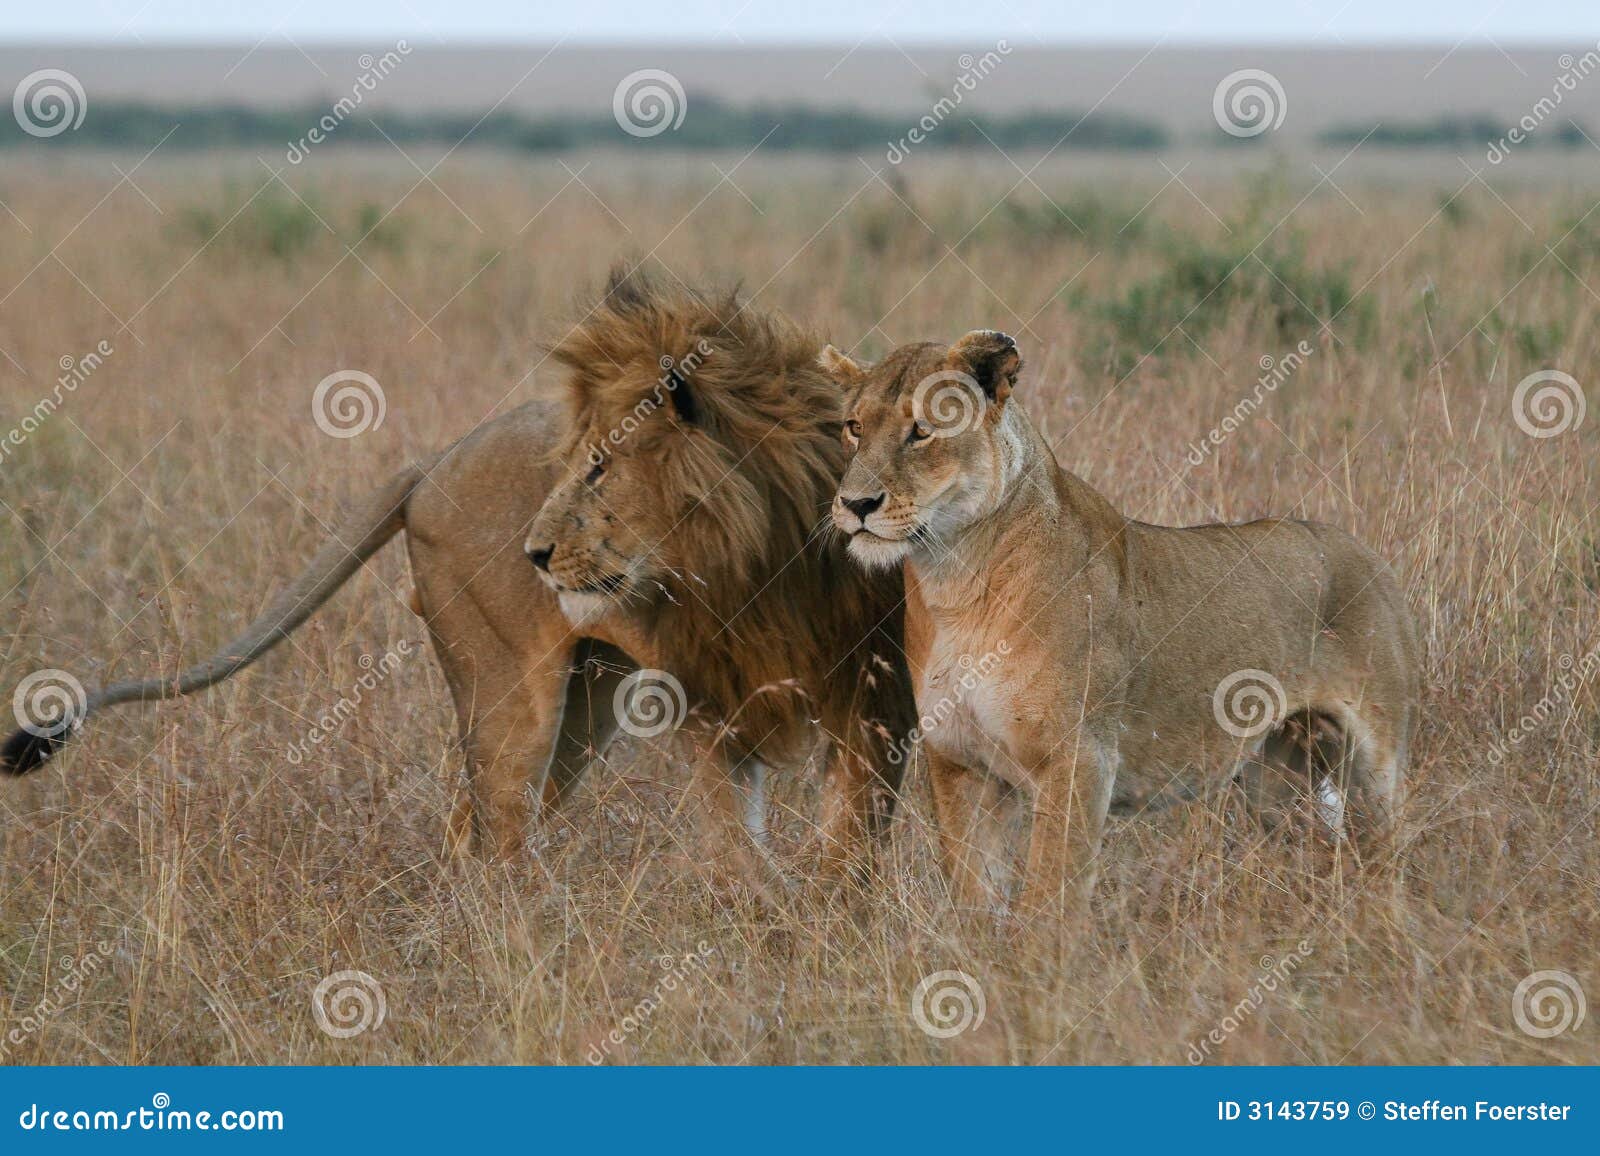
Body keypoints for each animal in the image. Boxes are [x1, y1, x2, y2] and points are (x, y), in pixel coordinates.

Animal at [2, 268, 916, 894]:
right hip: (509, 691)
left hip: (583, 704)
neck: (752, 558)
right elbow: (747, 844)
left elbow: (840, 841)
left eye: (599, 468)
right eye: (575, 461)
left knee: (472, 831)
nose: (533, 554)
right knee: (497, 841)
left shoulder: (873, 702)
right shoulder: (711, 700)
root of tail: (431, 463)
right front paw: (785, 922)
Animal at [821, 330, 1419, 916]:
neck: (956, 579)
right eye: (854, 427)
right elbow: (975, 901)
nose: (855, 503)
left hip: (1375, 765)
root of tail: (1367, 553)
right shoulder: (959, 763)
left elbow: (1049, 906)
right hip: (1278, 778)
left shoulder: (1079, 760)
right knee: (1322, 855)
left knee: (1383, 859)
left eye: (921, 431)